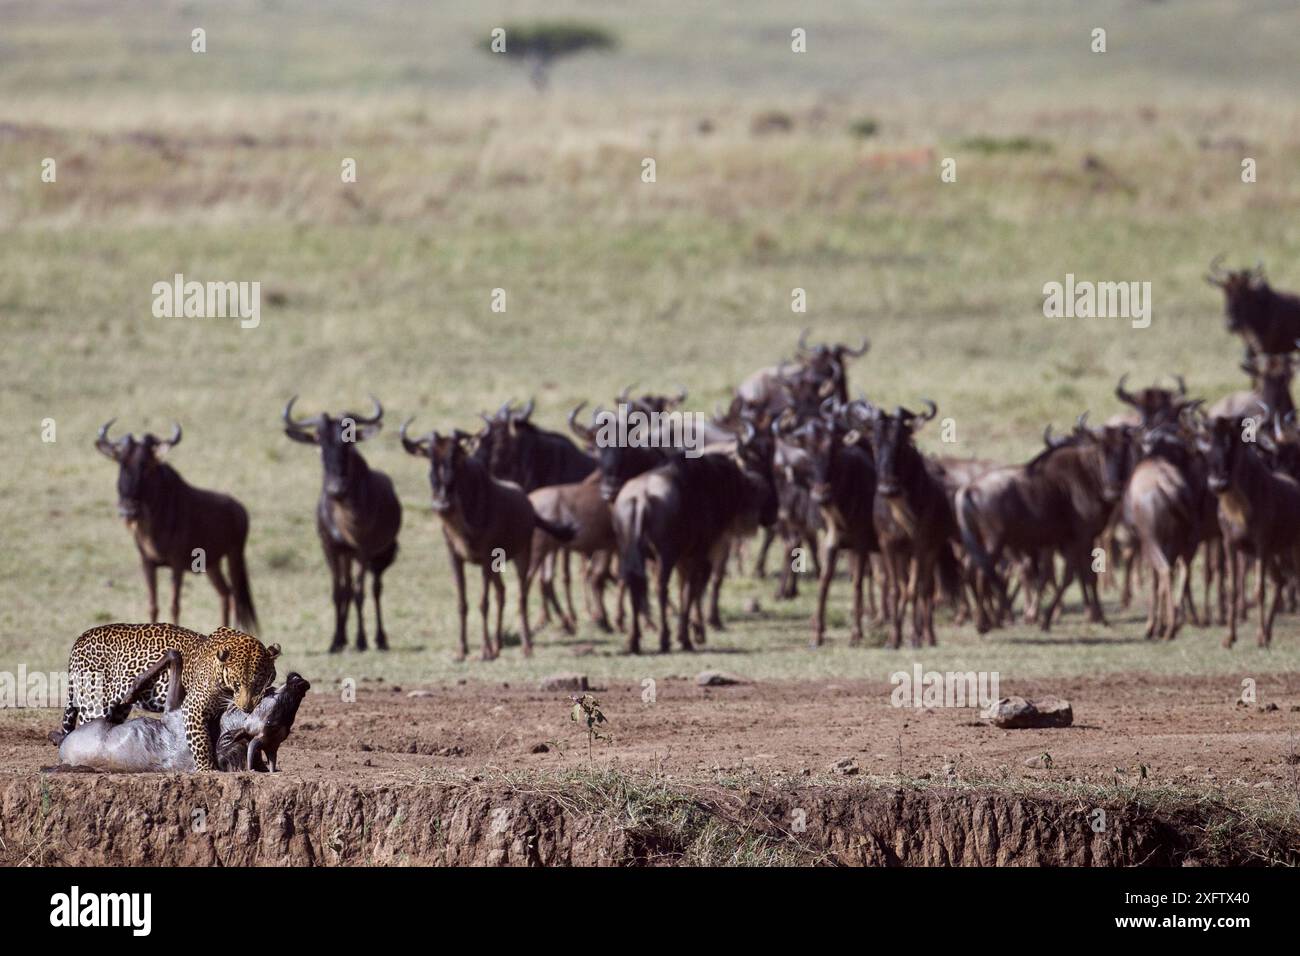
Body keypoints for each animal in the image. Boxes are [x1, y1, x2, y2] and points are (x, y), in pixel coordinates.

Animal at [54, 622, 279, 771]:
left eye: (259, 683)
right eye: (237, 683)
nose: (247, 707)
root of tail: (80, 639)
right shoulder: (192, 709)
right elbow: (202, 745)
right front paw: (207, 769)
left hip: (116, 711)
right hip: (94, 705)